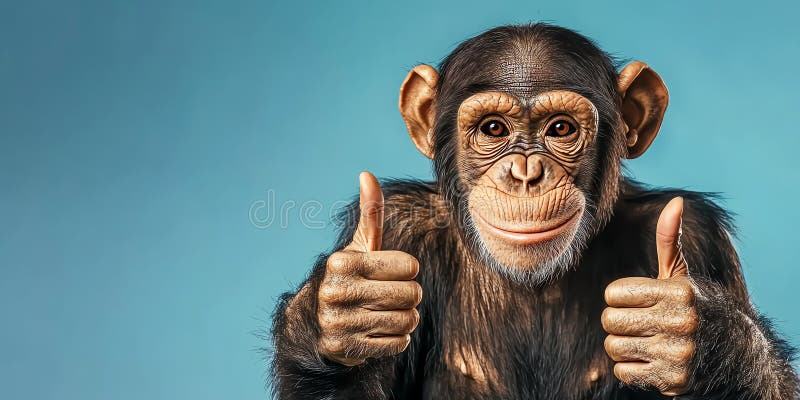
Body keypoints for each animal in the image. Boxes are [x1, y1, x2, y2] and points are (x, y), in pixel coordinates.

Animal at [268, 23, 799, 399]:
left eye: (561, 128)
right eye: (494, 129)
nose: (525, 174)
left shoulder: (699, 233)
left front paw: (695, 334)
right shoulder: (399, 224)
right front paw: (342, 310)